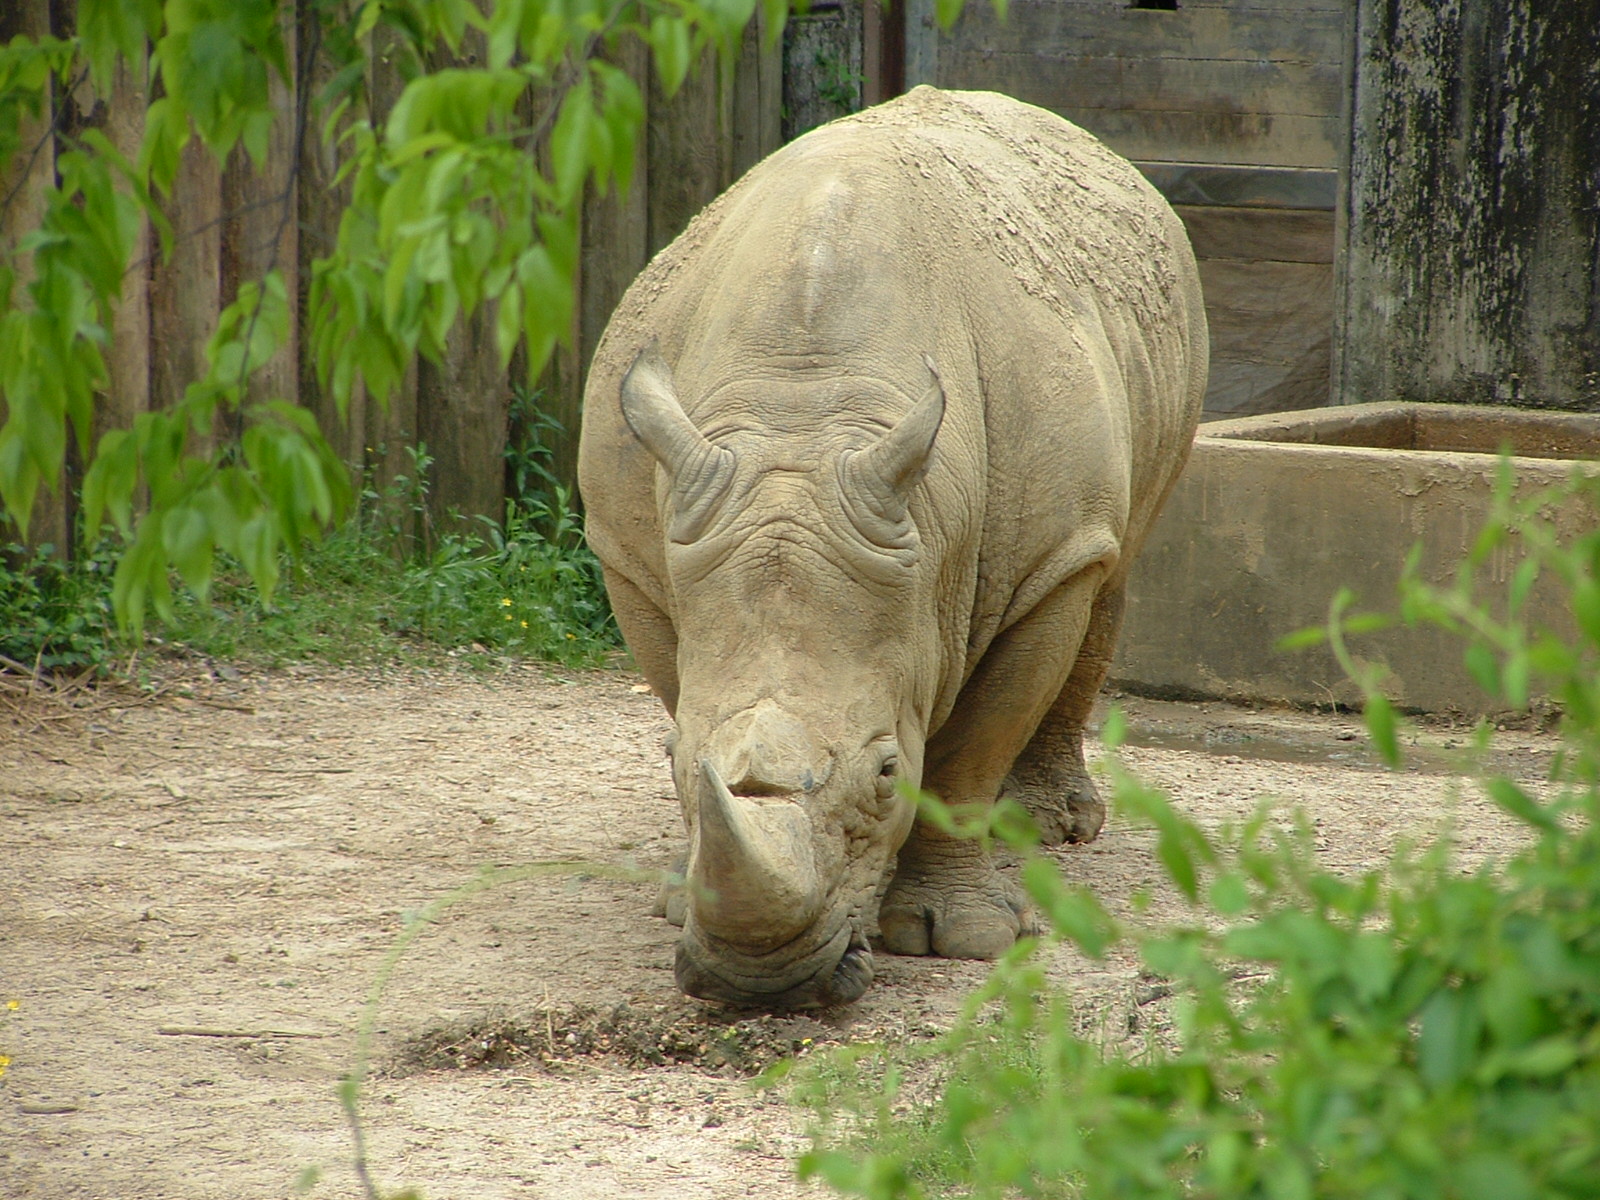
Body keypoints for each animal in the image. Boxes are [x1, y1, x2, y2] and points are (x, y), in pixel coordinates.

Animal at [578, 86, 1207, 1007]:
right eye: (669, 764)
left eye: (883, 774)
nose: (759, 982)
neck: (803, 414)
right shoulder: (639, 551)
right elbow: (683, 695)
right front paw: (678, 900)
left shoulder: (1043, 559)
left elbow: (971, 747)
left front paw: (965, 939)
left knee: (1112, 563)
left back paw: (1045, 829)